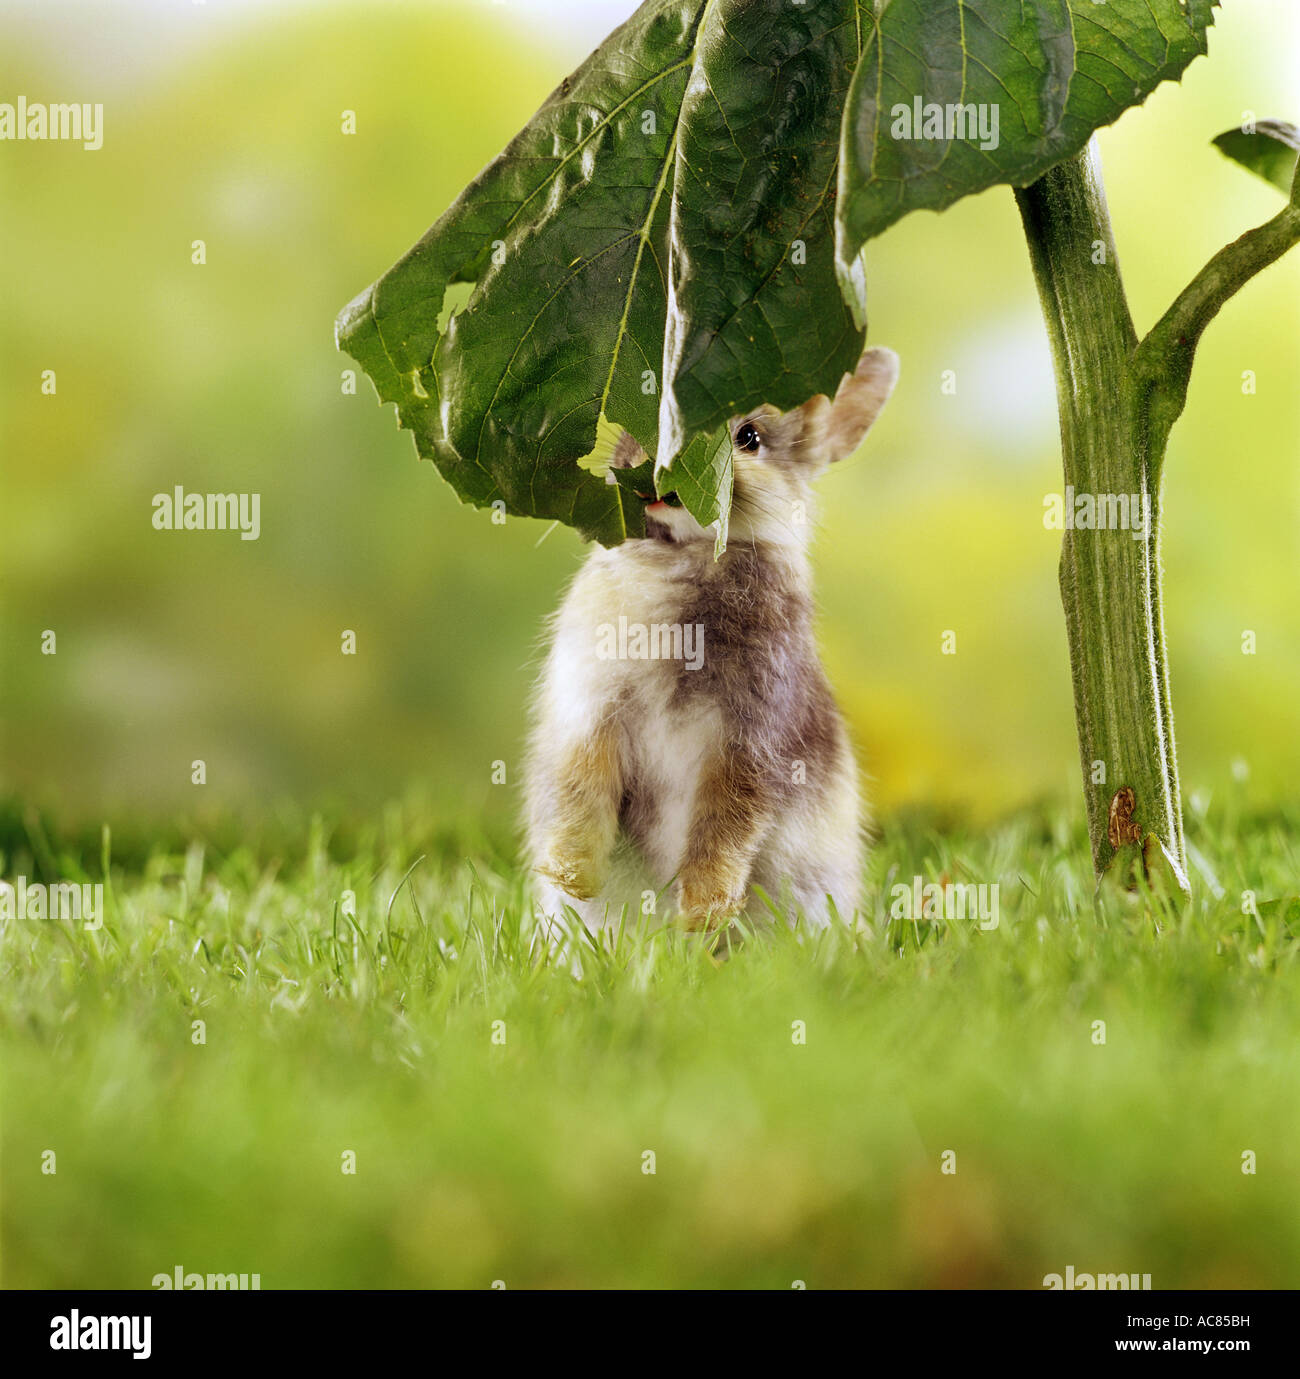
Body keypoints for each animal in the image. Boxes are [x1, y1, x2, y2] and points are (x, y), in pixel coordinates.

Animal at [525, 346, 899, 946]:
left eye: (749, 437)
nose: (659, 473)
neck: (684, 558)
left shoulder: (749, 740)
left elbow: (726, 827)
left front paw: (701, 912)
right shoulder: (592, 709)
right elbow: (582, 788)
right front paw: (572, 875)